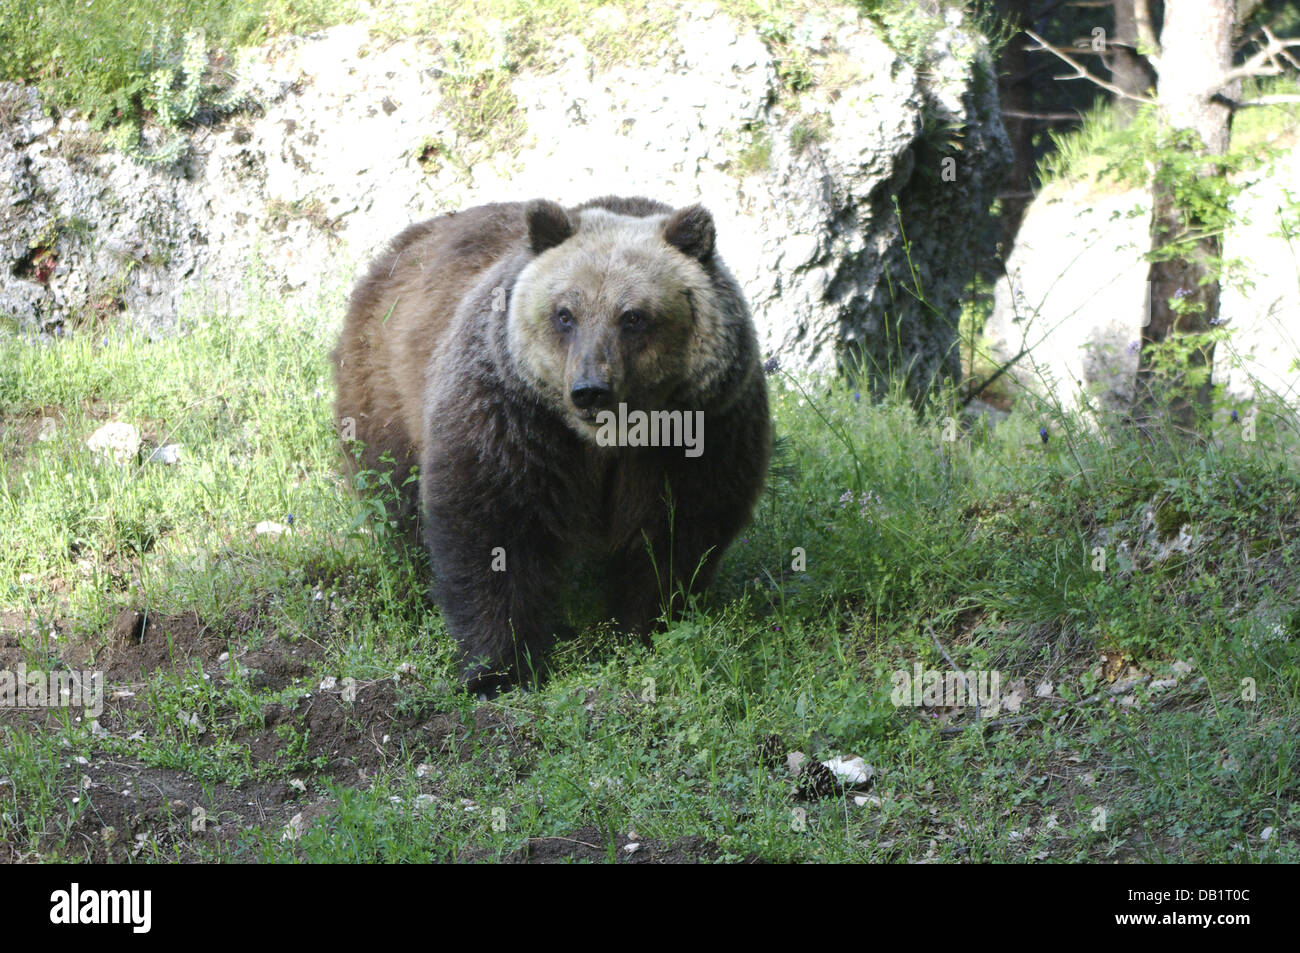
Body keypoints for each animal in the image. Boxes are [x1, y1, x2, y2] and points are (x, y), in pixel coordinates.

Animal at [332, 196, 771, 691]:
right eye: (565, 314)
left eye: (633, 316)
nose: (590, 389)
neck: (606, 441)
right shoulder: (512, 417)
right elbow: (492, 528)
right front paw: (499, 667)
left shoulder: (699, 432)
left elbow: (673, 534)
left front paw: (643, 629)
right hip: (383, 387)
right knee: (394, 496)